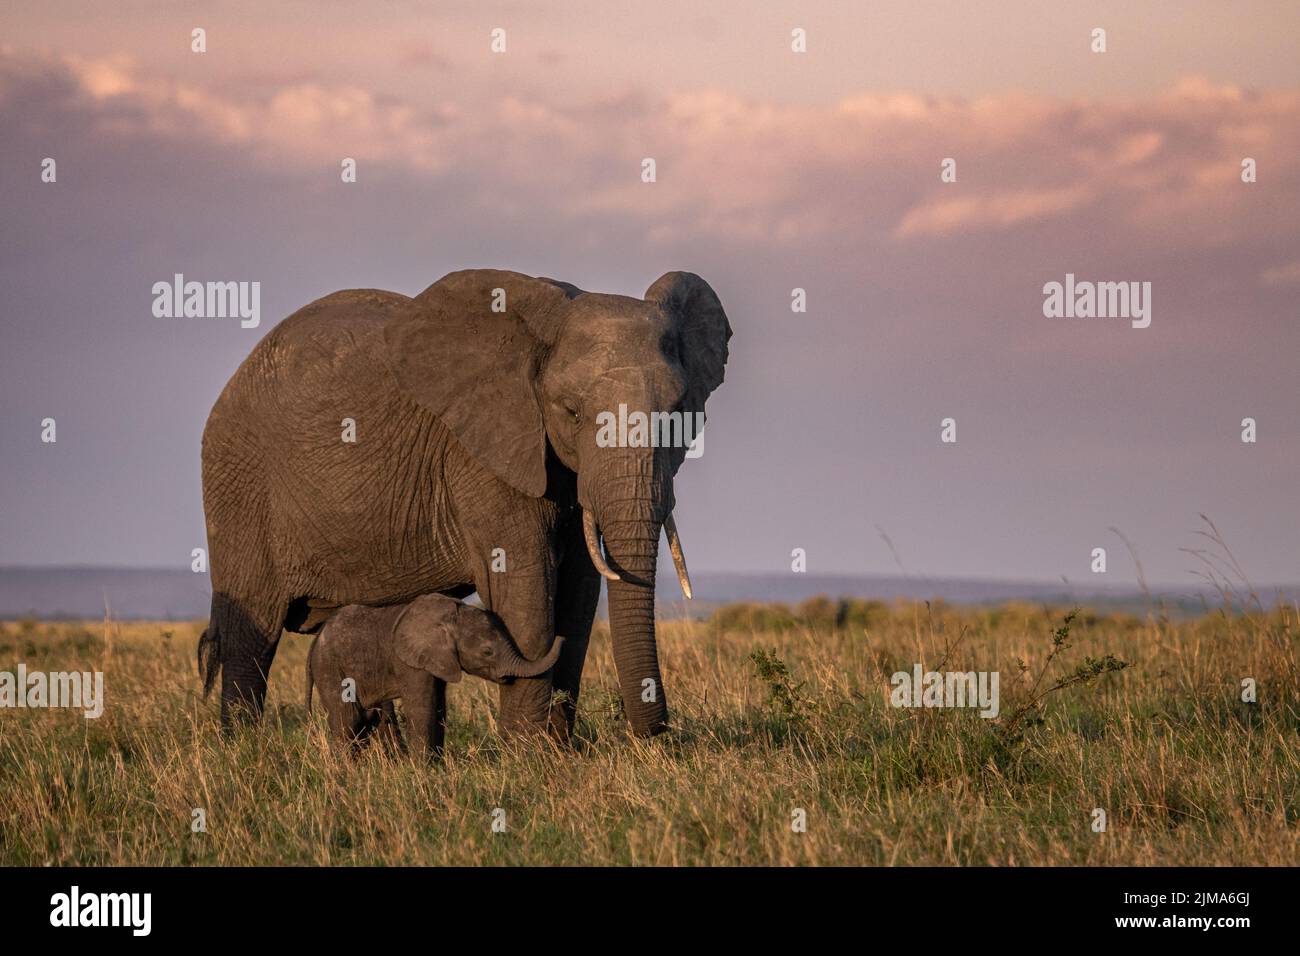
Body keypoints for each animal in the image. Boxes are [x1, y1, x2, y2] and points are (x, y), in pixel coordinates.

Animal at [197, 268, 731, 740]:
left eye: (678, 414)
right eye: (572, 412)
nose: (655, 733)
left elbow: (581, 591)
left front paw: (558, 751)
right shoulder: (480, 453)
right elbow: (525, 582)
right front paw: (528, 754)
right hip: (237, 482)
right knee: (252, 635)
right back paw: (246, 750)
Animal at [306, 593, 564, 758]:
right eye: (487, 652)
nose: (562, 637)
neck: (448, 618)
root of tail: (315, 642)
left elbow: (439, 707)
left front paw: (436, 766)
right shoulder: (410, 662)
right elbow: (423, 708)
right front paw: (421, 770)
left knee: (372, 719)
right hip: (330, 668)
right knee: (348, 720)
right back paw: (346, 769)